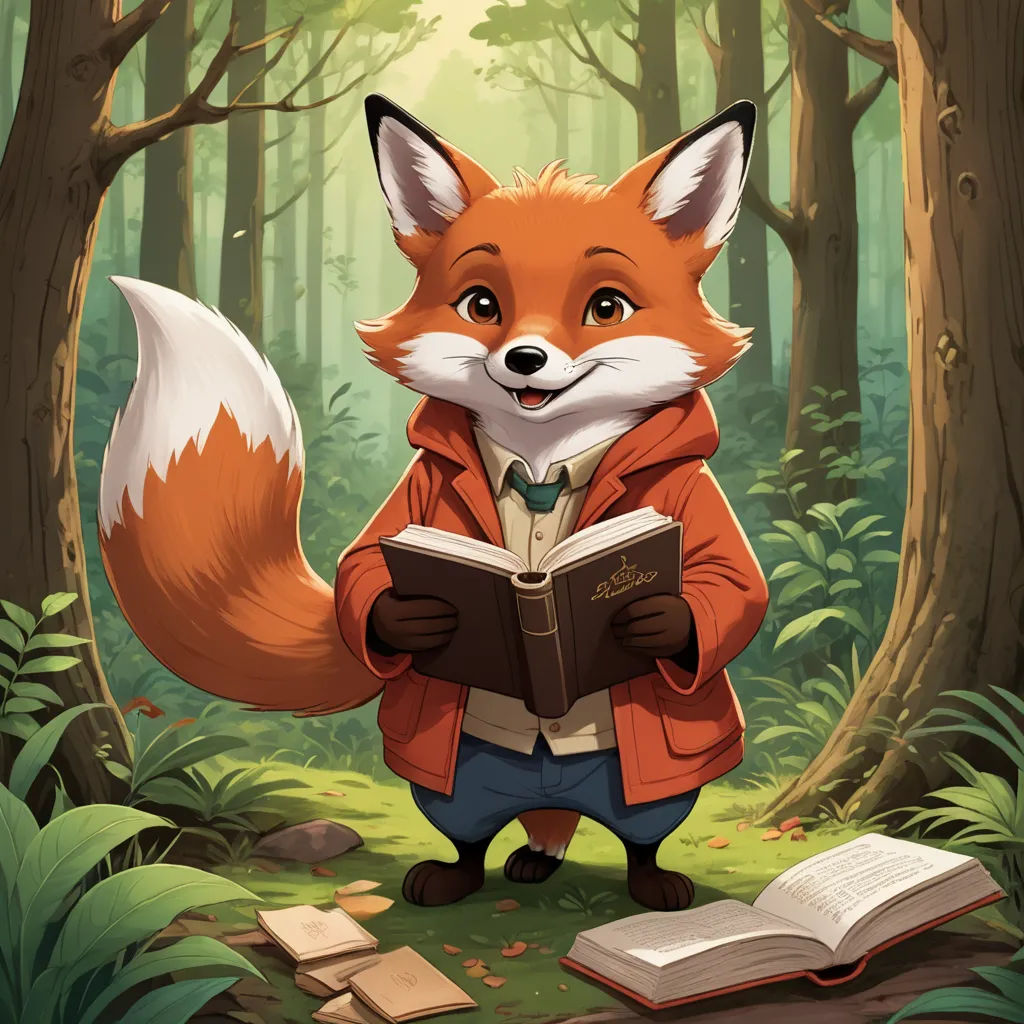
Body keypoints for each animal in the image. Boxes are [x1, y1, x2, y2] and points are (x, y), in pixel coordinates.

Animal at [99, 95, 768, 912]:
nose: (524, 359)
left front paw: (658, 619)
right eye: (482, 304)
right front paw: (410, 617)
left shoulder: (693, 499)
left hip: (642, 786)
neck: (540, 465)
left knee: (641, 820)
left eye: (606, 306)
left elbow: (733, 586)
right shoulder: (416, 492)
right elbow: (363, 565)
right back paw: (477, 868)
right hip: (467, 778)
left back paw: (644, 877)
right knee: (472, 819)